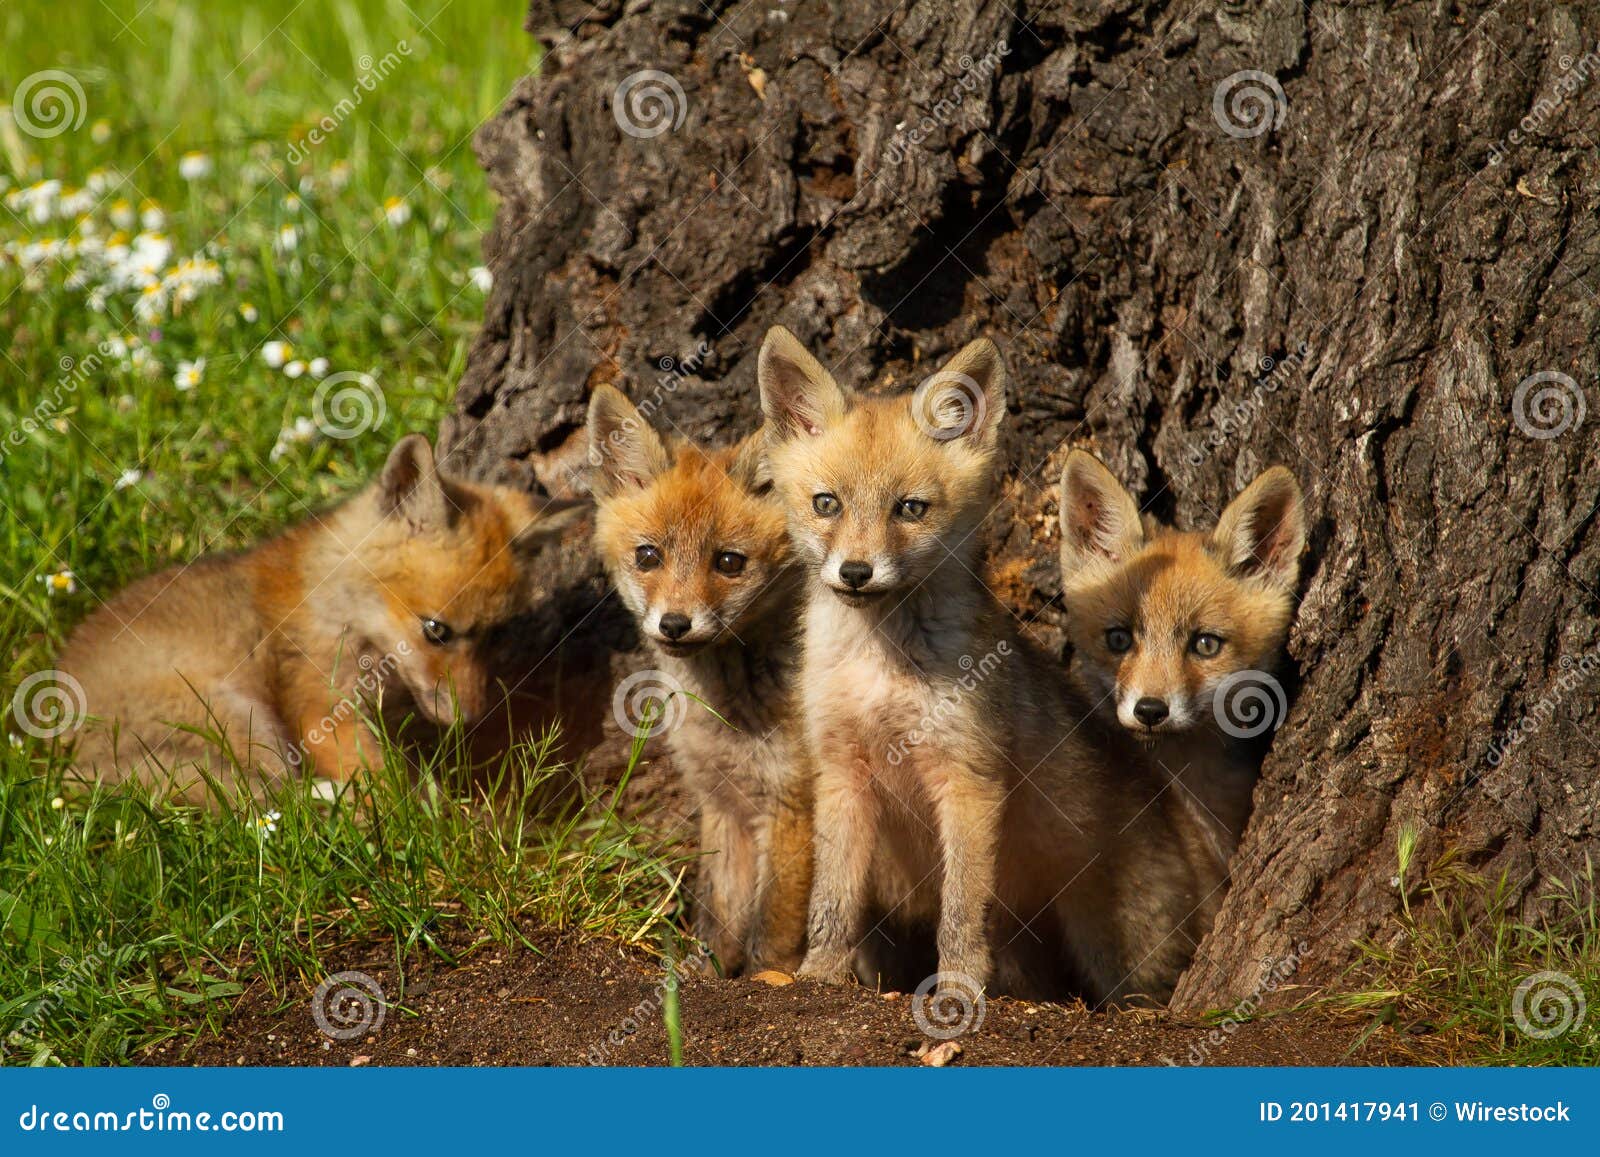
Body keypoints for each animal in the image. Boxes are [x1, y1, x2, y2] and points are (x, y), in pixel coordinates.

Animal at [57, 434, 582, 805]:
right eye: (436, 631)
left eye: (495, 635)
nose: (470, 718)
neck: (342, 609)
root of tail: (63, 761)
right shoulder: (320, 708)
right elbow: (387, 783)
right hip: (241, 719)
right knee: (271, 806)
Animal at [586, 384, 812, 975]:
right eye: (648, 555)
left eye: (729, 562)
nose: (674, 624)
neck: (730, 717)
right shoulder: (721, 801)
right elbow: (719, 916)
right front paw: (704, 974)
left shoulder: (793, 803)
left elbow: (771, 932)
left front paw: (766, 981)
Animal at [758, 325, 1244, 1005]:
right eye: (826, 503)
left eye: (910, 509)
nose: (855, 572)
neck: (883, 670)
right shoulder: (842, 773)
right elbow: (832, 900)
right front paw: (818, 975)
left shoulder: (969, 778)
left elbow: (962, 910)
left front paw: (957, 991)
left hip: (1116, 955)